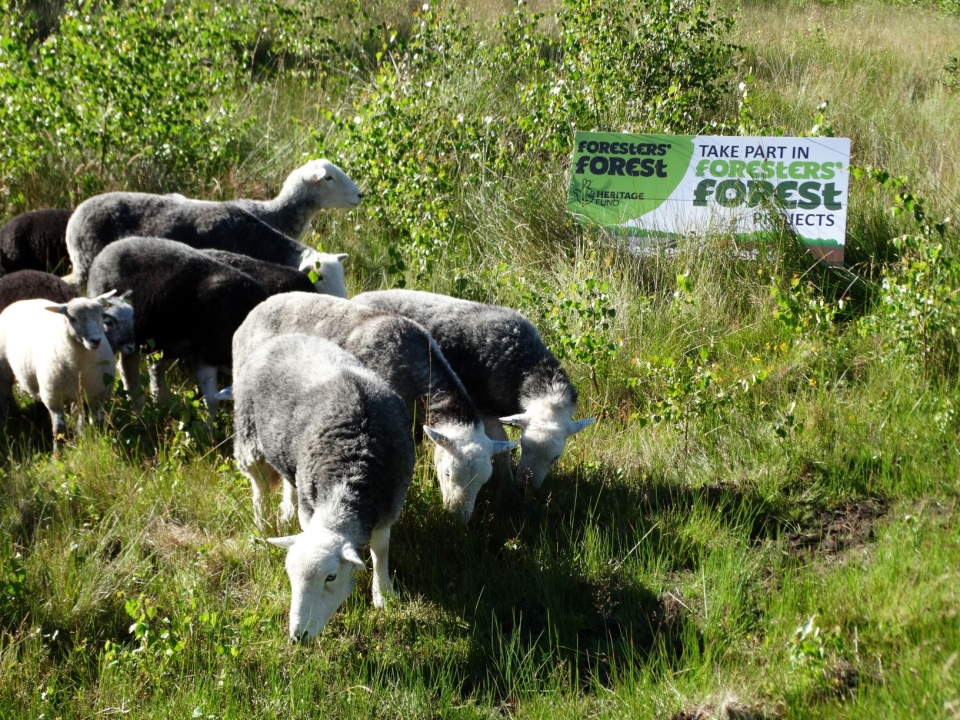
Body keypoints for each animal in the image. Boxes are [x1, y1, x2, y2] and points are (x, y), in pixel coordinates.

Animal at [0, 293, 117, 449]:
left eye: (102, 315)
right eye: (72, 318)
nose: (96, 340)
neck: (82, 367)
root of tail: (23, 301)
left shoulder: (99, 394)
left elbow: (96, 424)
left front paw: (93, 443)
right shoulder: (53, 397)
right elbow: (59, 430)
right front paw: (58, 453)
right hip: (4, 371)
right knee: (5, 400)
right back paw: (6, 426)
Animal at [86, 236, 267, 417]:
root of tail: (106, 251)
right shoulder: (206, 354)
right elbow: (212, 400)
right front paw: (208, 425)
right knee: (126, 367)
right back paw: (138, 410)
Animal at [234, 333, 414, 641]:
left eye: (331, 576)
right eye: (290, 576)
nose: (298, 636)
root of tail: (281, 338)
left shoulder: (390, 505)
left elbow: (380, 550)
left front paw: (383, 595)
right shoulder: (311, 510)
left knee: (288, 483)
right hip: (249, 438)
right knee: (259, 492)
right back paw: (264, 526)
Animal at [352, 290, 595, 490]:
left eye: (556, 457)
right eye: (524, 446)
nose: (526, 486)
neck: (528, 365)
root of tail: (358, 297)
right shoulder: (484, 410)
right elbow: (502, 447)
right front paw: (506, 485)